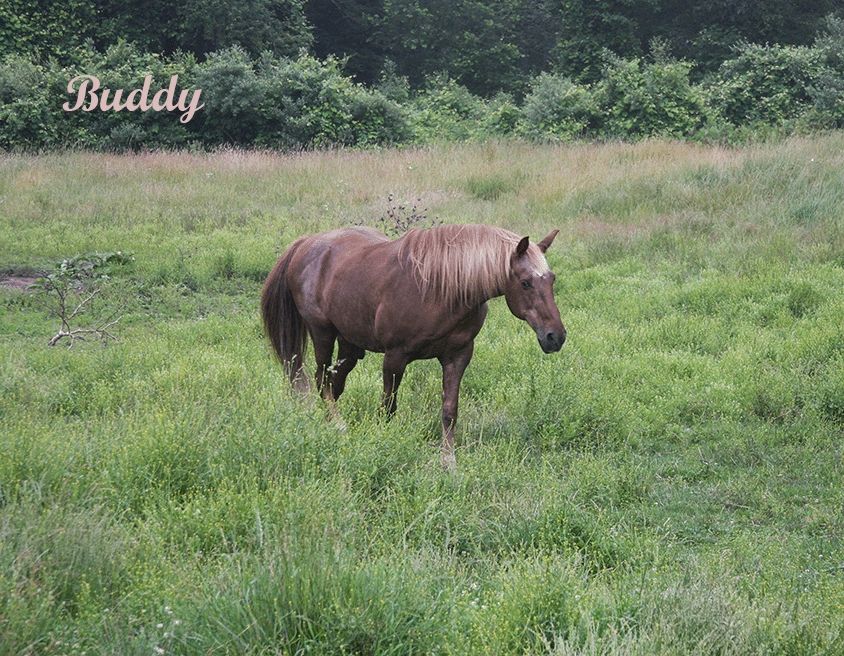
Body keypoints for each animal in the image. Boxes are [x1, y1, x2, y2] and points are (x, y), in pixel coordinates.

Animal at [261, 223, 566, 469]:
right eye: (525, 283)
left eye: (551, 279)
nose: (556, 337)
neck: (442, 289)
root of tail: (306, 243)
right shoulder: (395, 357)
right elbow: (388, 407)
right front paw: (383, 444)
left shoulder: (458, 356)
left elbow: (449, 411)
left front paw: (448, 462)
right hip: (322, 333)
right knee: (321, 378)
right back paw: (337, 426)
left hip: (350, 344)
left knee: (335, 382)